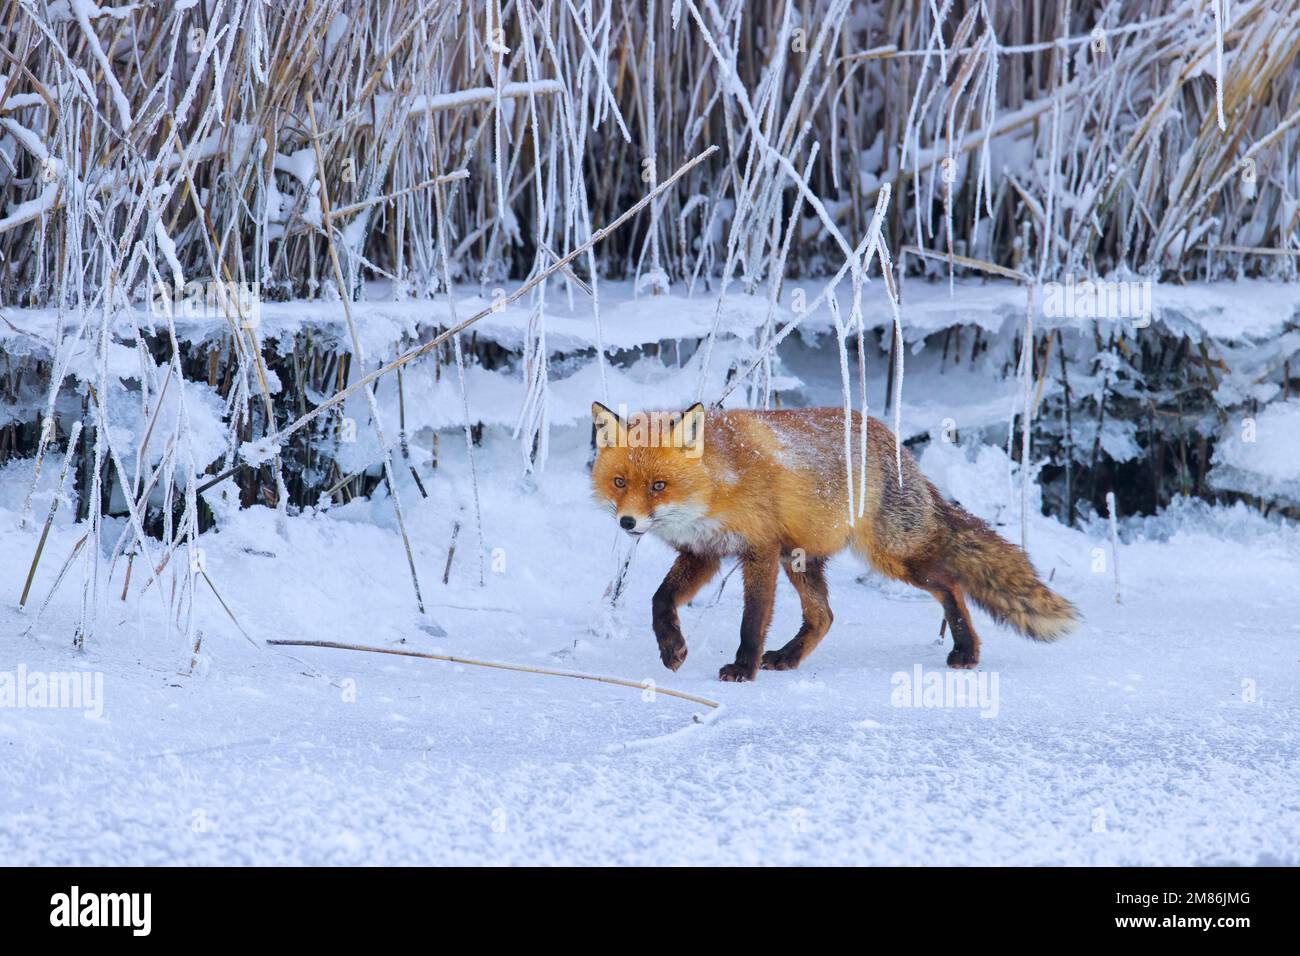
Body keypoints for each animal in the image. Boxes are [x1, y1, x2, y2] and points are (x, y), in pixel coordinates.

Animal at [590, 401, 1077, 682]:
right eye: (619, 482)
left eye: (658, 485)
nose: (628, 523)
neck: (717, 484)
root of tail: (898, 446)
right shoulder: (704, 551)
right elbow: (660, 600)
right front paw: (671, 648)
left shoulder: (759, 549)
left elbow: (752, 619)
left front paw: (744, 668)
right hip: (802, 559)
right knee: (824, 616)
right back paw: (787, 659)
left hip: (891, 557)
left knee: (950, 584)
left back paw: (966, 651)